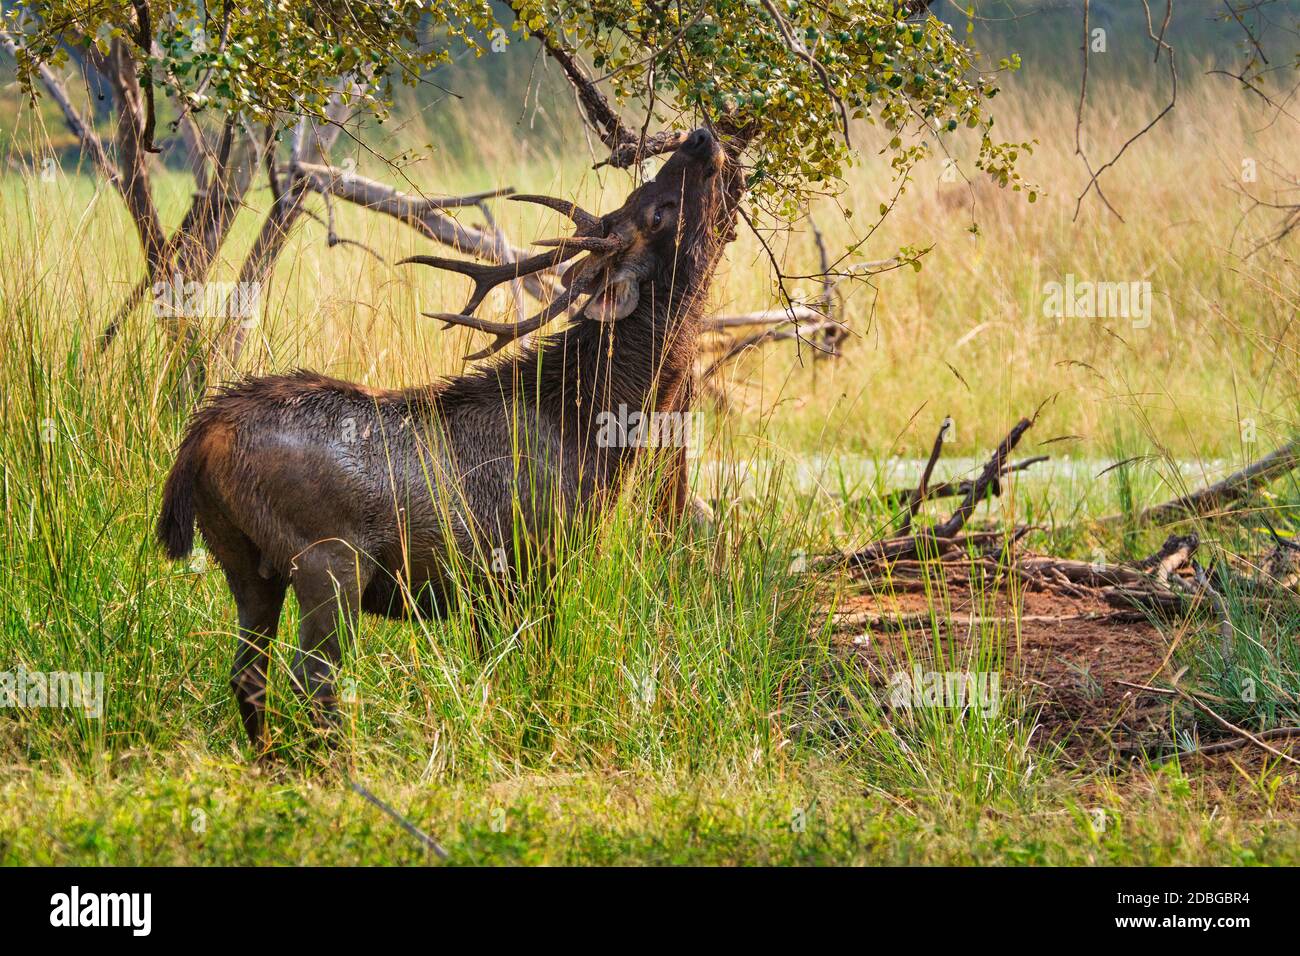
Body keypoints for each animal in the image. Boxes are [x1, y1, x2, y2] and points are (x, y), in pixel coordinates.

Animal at [155, 128, 739, 753]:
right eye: (658, 210)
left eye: (643, 197)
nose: (702, 137)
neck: (594, 429)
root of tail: (200, 439)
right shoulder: (537, 564)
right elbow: (532, 670)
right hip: (329, 560)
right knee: (313, 678)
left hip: (241, 560)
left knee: (249, 673)